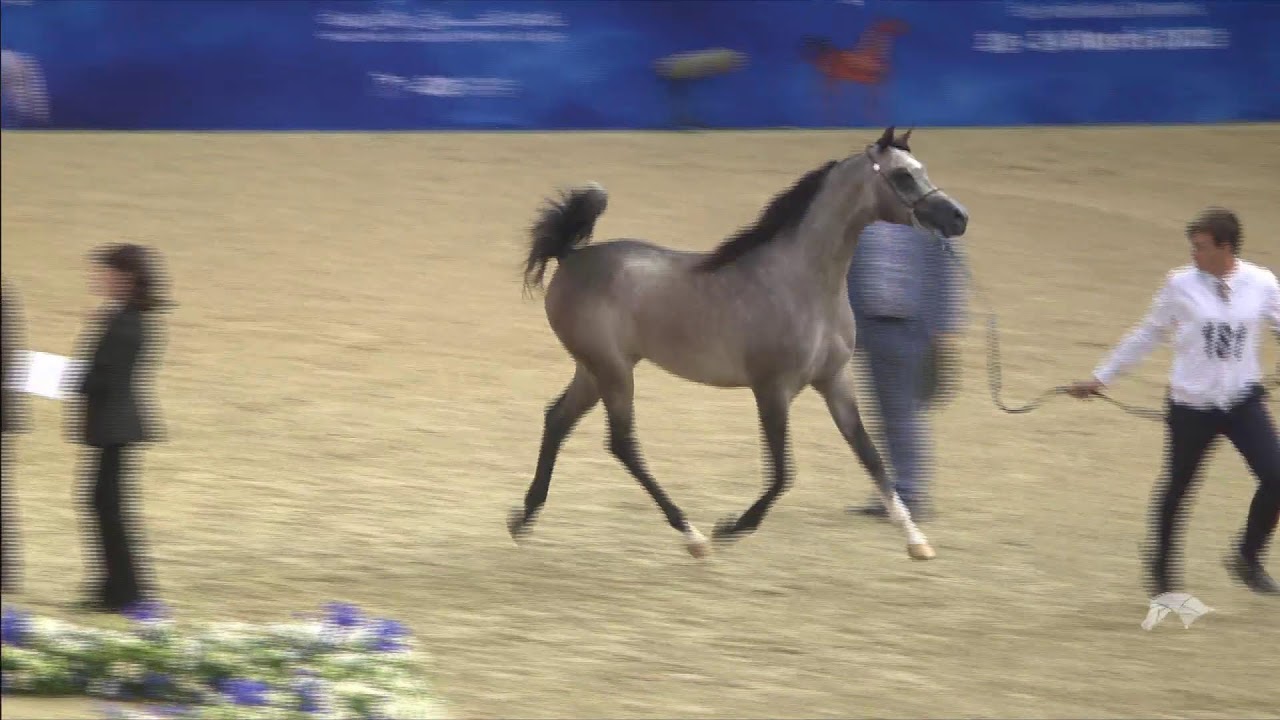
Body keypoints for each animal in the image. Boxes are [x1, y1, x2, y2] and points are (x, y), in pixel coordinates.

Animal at [510, 126, 968, 561]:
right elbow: (783, 472)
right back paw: (694, 536)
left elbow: (871, 456)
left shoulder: (835, 381)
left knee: (558, 419)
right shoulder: (772, 389)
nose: (958, 218)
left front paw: (917, 541)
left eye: (922, 169)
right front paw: (730, 528)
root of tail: (571, 257)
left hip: (595, 370)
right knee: (622, 444)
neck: (803, 283)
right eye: (903, 176)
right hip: (613, 371)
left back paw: (524, 518)